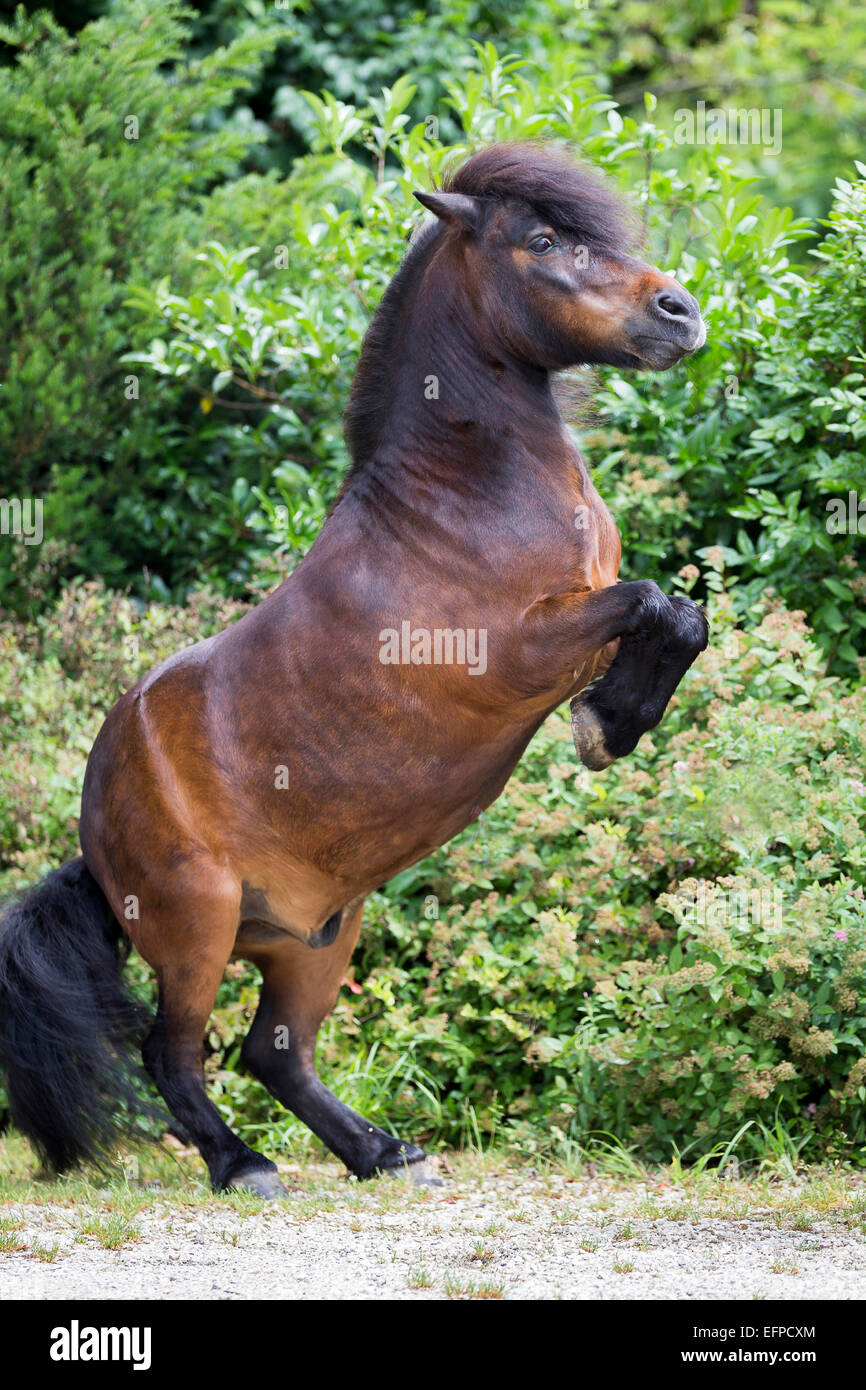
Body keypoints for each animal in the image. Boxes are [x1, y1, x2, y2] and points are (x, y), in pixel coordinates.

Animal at [0, 143, 708, 1196]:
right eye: (543, 239)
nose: (680, 312)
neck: (459, 496)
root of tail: (92, 837)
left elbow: (684, 616)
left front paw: (616, 720)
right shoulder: (521, 655)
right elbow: (653, 601)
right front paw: (606, 726)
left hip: (319, 933)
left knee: (275, 1053)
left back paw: (386, 1153)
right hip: (195, 923)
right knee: (175, 1054)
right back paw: (244, 1165)